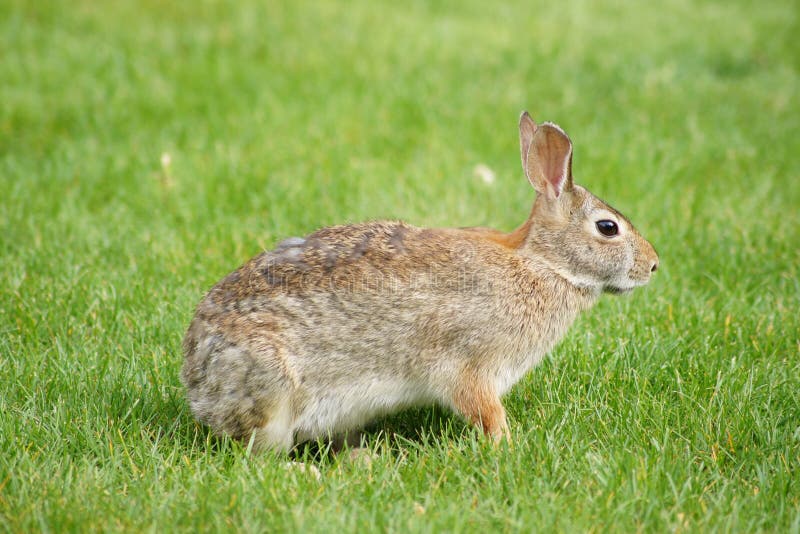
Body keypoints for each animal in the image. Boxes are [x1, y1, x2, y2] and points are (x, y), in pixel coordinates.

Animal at [181, 111, 659, 453]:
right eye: (608, 228)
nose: (653, 266)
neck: (543, 263)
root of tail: (197, 383)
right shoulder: (469, 365)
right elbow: (484, 410)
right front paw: (507, 445)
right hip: (273, 388)